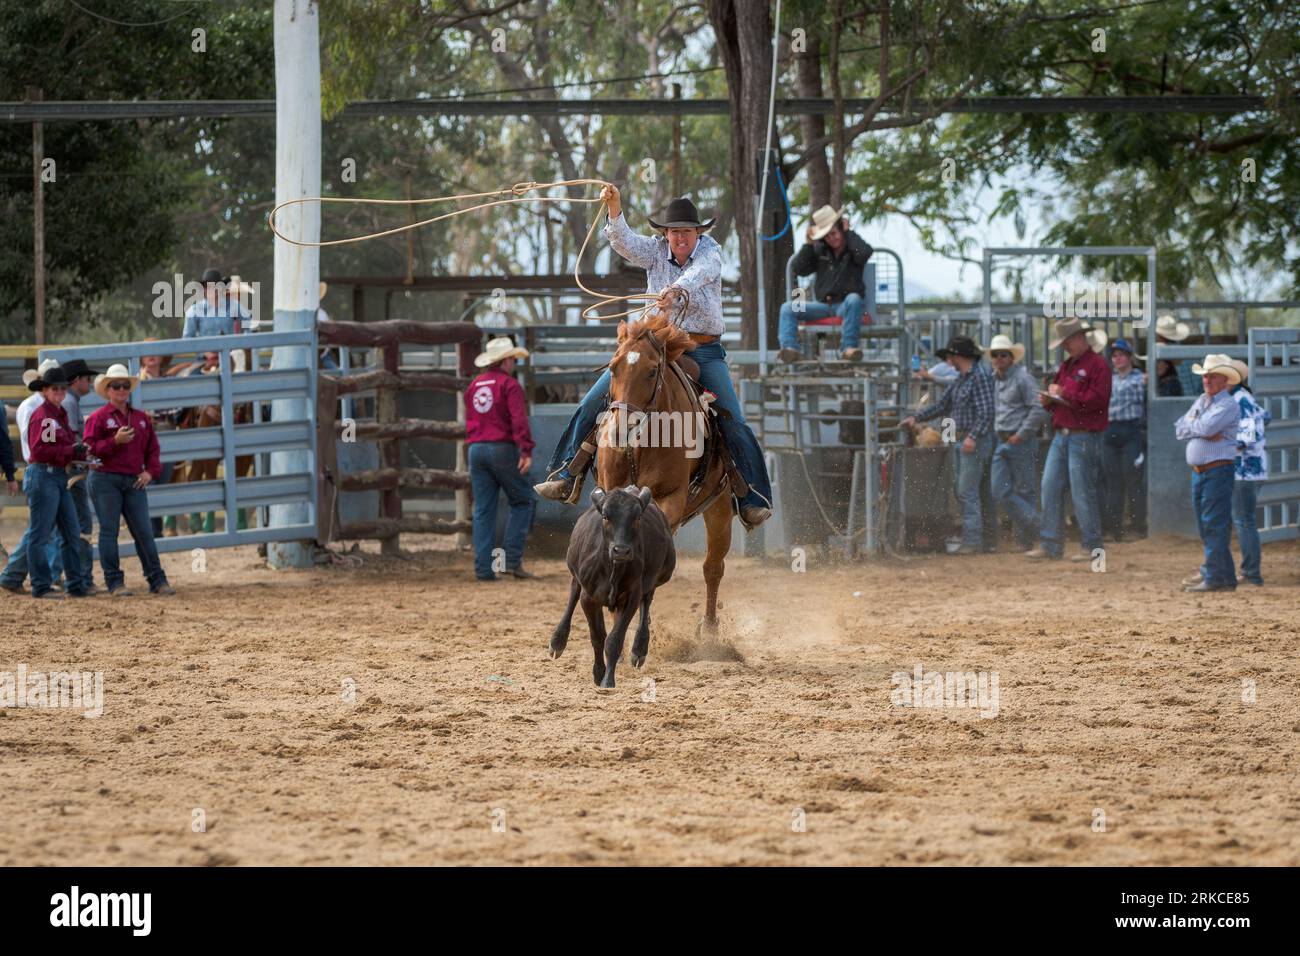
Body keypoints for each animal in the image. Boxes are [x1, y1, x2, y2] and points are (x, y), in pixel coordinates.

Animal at [548, 485, 675, 689]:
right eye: (606, 516)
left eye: (637, 517)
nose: (621, 550)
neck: (612, 569)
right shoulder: (589, 598)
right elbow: (598, 637)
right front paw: (599, 673)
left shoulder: (631, 597)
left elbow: (614, 640)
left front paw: (608, 680)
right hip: (575, 573)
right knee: (573, 593)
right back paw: (557, 641)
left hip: (660, 575)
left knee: (647, 600)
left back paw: (639, 649)